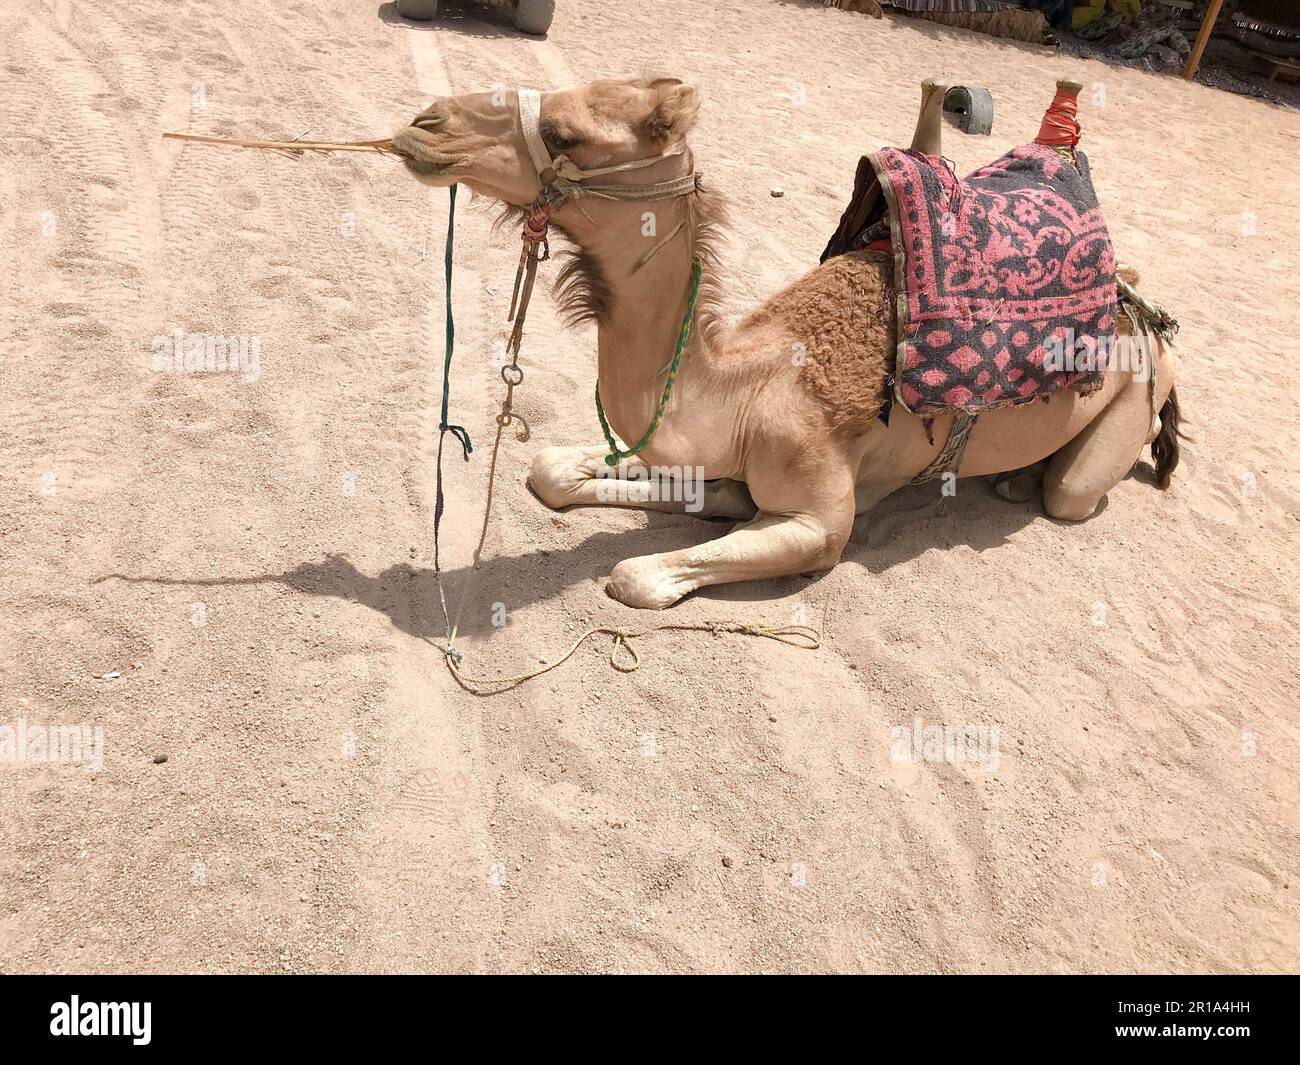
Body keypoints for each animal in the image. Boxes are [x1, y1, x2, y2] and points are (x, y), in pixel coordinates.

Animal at [393, 77, 1181, 609]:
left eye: (563, 134)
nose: (424, 124)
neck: (745, 387)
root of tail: (1141, 307)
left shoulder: (819, 519)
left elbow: (634, 575)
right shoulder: (712, 458)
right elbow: (554, 471)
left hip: (1132, 404)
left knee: (1072, 492)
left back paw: (1026, 483)